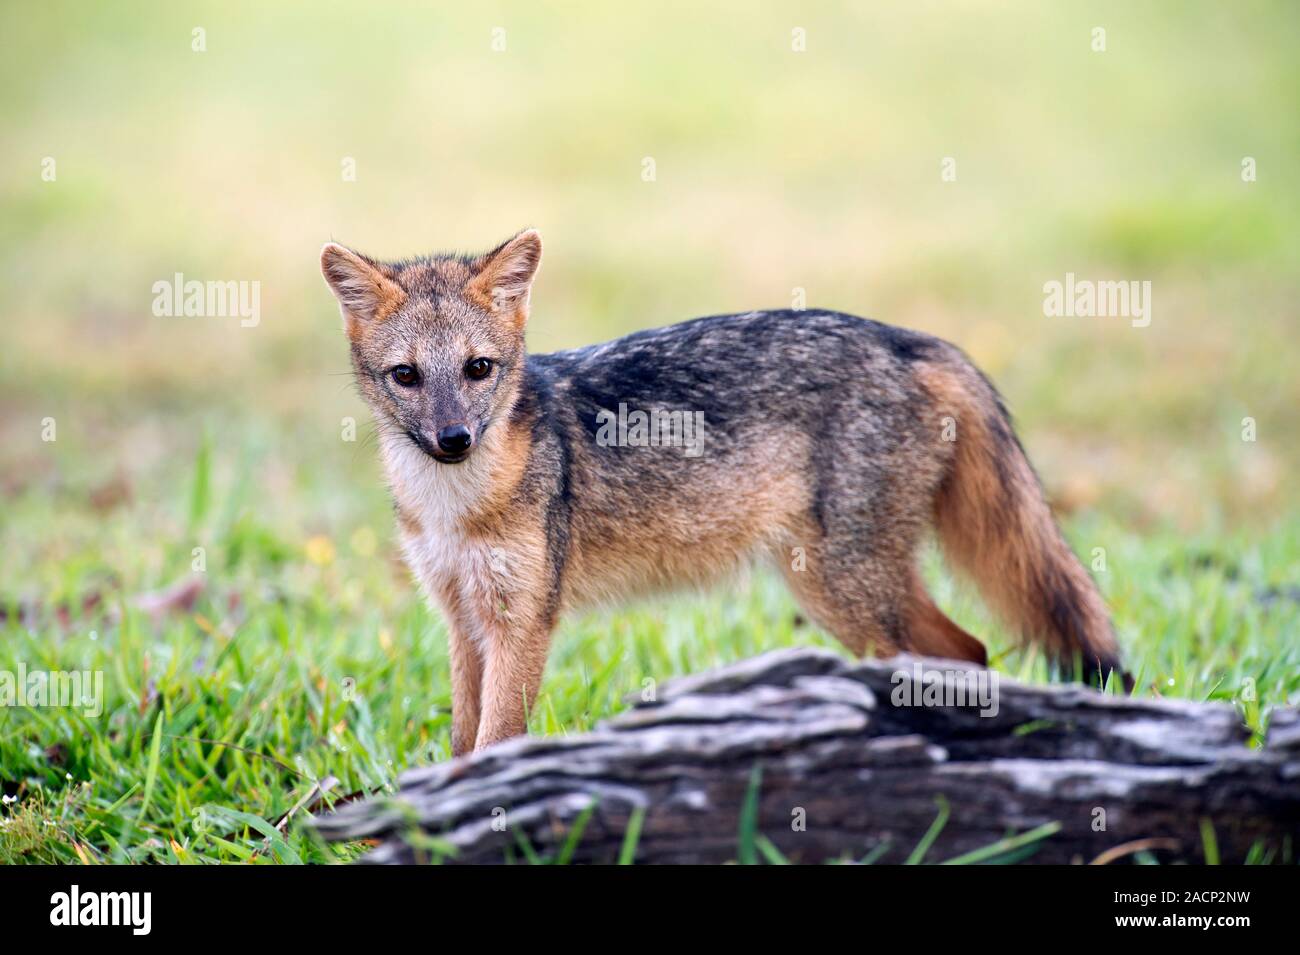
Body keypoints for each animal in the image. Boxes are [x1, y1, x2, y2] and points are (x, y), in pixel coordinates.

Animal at [321, 229, 1123, 755]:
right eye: (407, 376)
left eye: (479, 368)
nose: (453, 438)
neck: (455, 506)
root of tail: (909, 338)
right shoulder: (463, 619)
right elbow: (463, 739)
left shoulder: (525, 620)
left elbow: (496, 739)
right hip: (837, 592)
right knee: (971, 653)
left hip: (848, 594)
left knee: (967, 651)